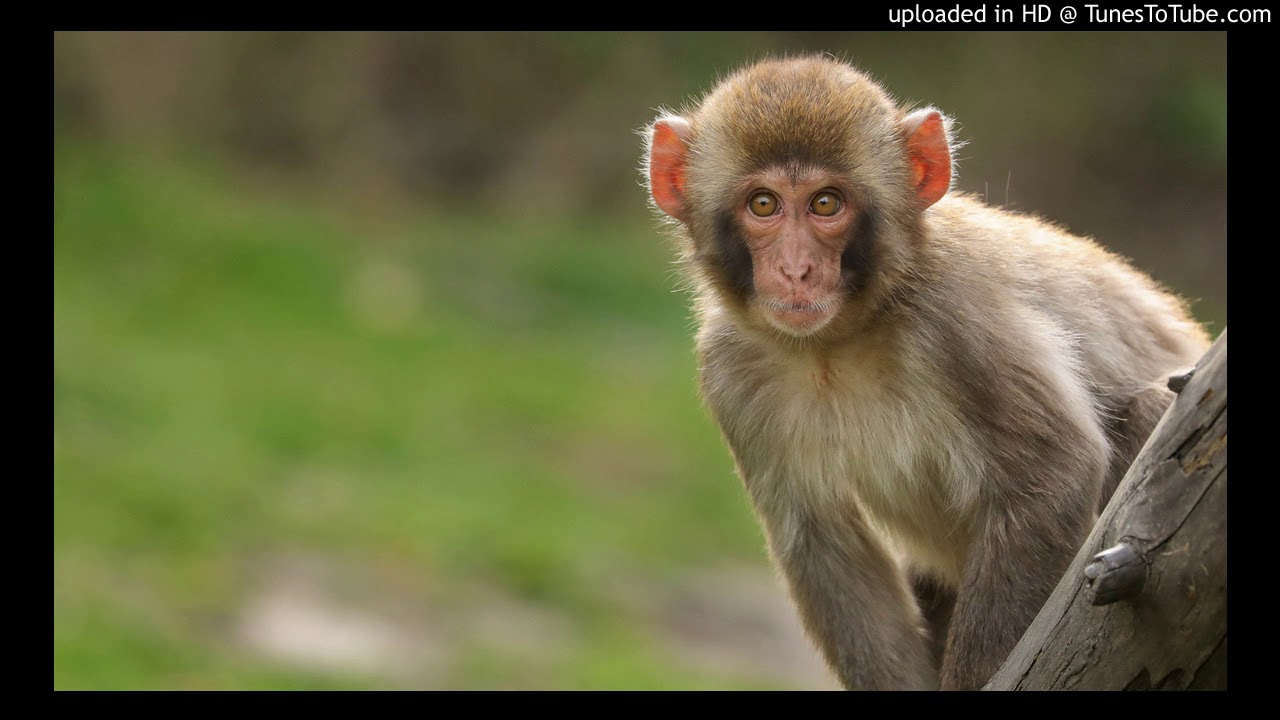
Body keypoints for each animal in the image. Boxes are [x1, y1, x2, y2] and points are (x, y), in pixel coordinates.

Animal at [641, 56, 1211, 690]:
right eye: (763, 205)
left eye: (825, 204)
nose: (795, 270)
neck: (835, 344)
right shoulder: (731, 371)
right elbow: (823, 546)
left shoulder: (957, 319)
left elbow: (1051, 474)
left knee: (1146, 409)